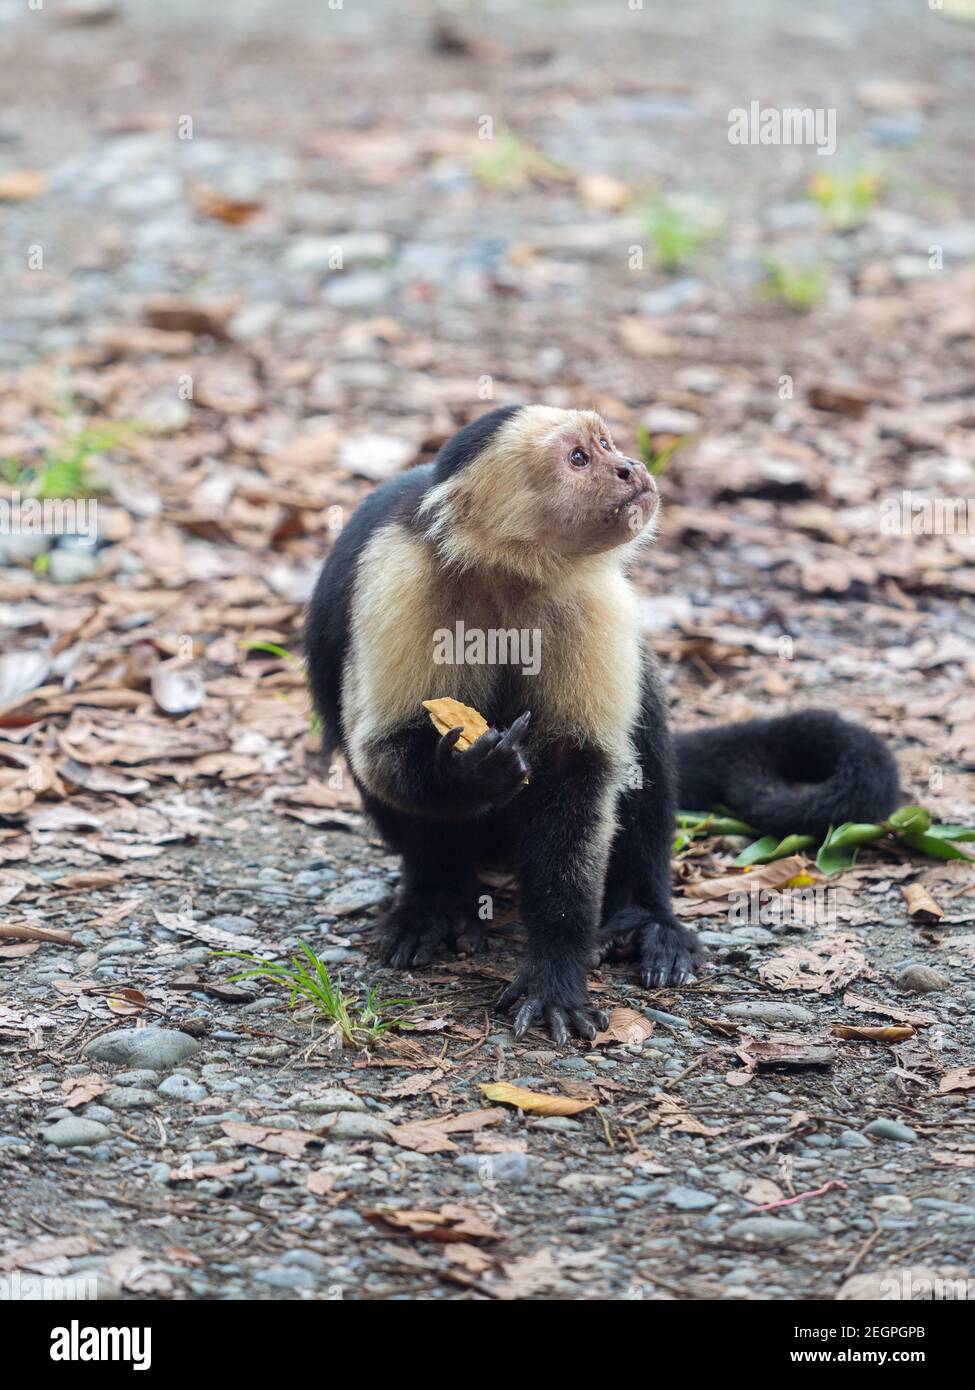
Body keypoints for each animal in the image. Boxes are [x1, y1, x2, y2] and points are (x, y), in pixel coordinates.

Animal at [306, 405, 899, 1044]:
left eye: (606, 442)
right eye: (578, 459)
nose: (630, 466)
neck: (505, 571)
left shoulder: (590, 600)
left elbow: (578, 772)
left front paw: (555, 974)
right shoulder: (401, 579)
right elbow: (382, 749)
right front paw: (468, 774)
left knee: (643, 733)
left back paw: (644, 915)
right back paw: (435, 898)